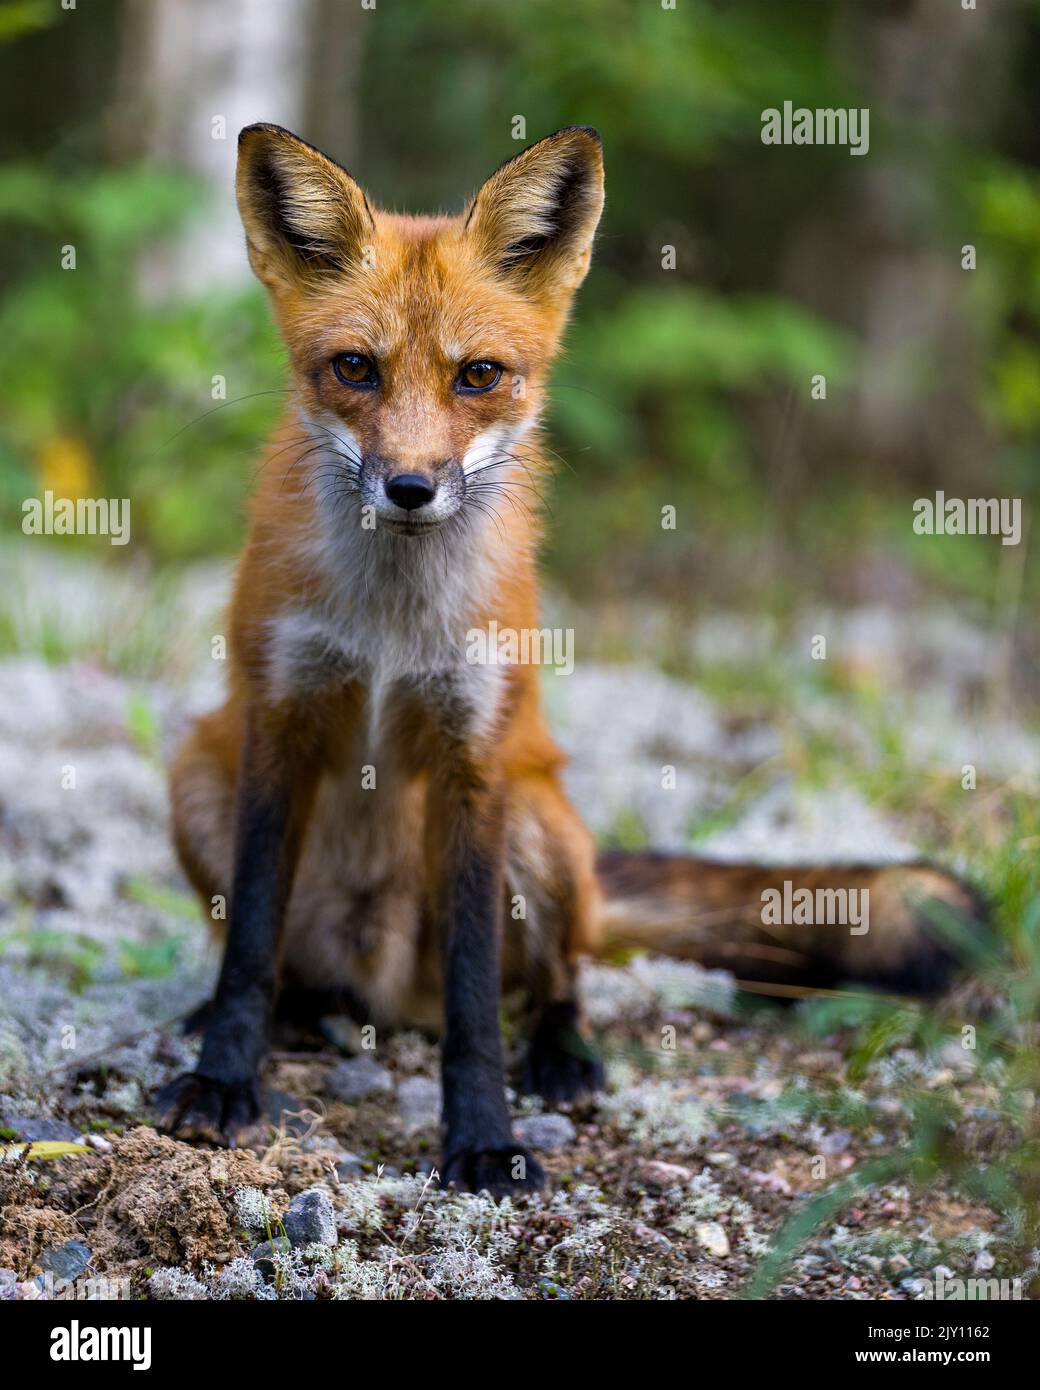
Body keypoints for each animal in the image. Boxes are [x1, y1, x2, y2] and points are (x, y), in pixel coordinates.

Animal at [155, 124, 985, 1194]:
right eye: (354, 368)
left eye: (477, 375)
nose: (411, 487)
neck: (391, 624)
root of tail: (381, 992)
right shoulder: (279, 720)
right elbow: (249, 944)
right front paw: (222, 1079)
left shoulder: (475, 759)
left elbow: (475, 1002)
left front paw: (482, 1140)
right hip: (197, 779)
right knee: (289, 969)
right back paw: (284, 1014)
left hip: (539, 826)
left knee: (554, 979)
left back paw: (564, 1056)